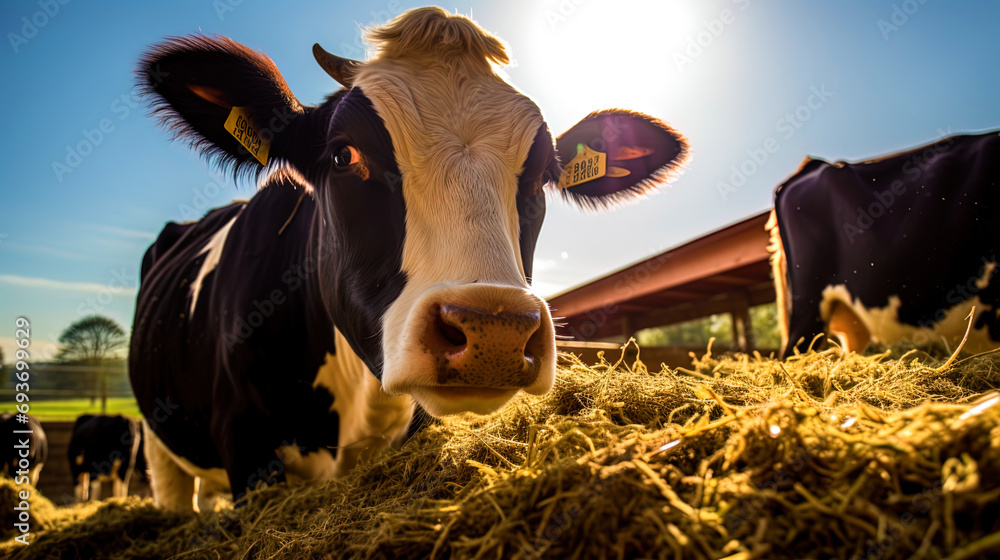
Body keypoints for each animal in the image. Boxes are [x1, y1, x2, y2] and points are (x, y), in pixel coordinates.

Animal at [129, 7, 689, 512]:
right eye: (344, 155)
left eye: (544, 173)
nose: (496, 332)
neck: (360, 407)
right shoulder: (245, 442)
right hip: (159, 447)